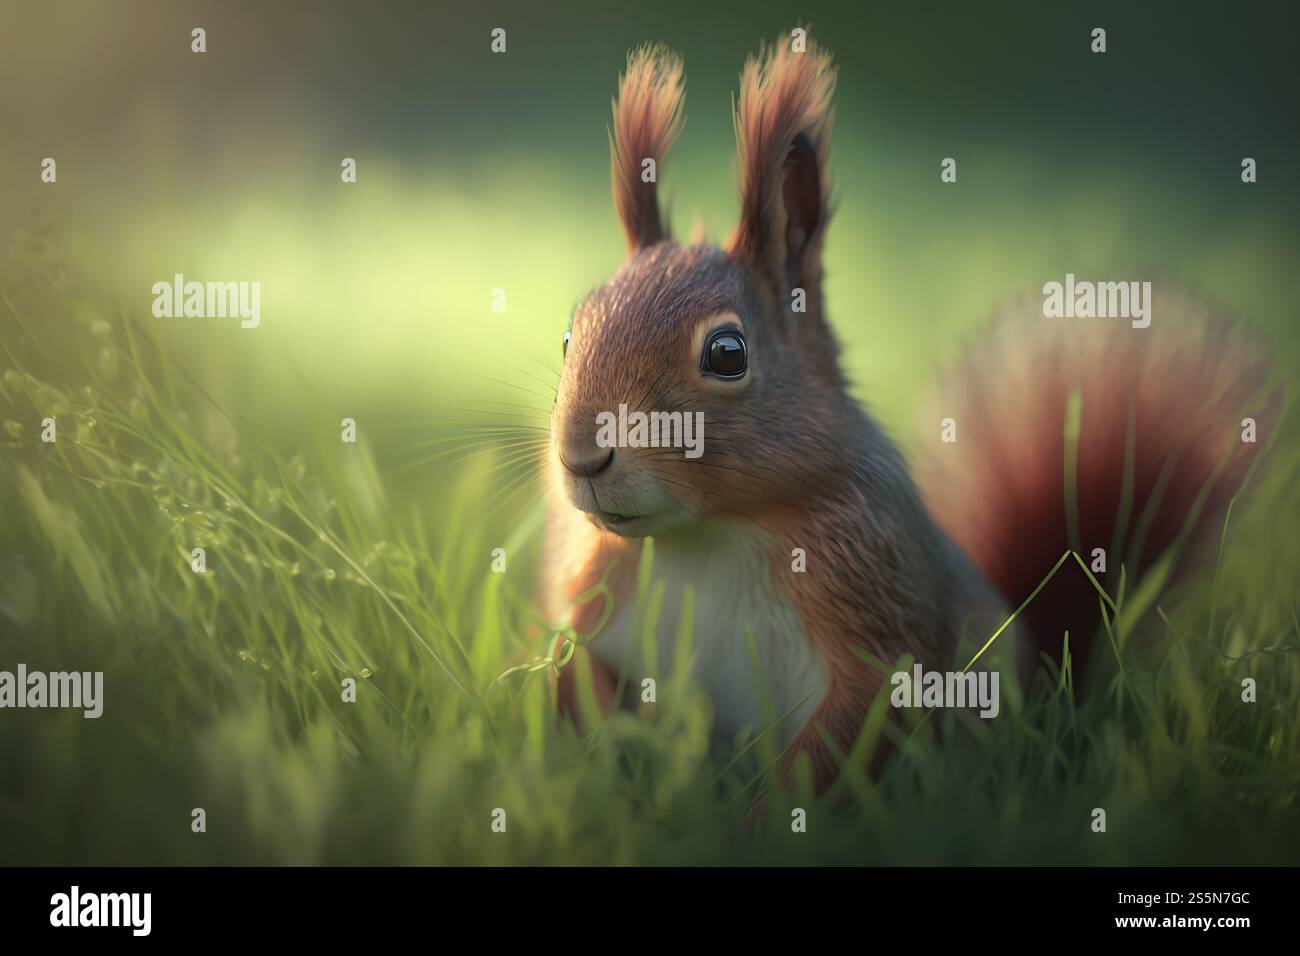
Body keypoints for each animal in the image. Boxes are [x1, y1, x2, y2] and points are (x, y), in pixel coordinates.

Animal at [542, 37, 1274, 794]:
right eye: (569, 335)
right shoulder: (594, 597)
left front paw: (758, 816)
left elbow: (855, 724)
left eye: (726, 353)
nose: (581, 457)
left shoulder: (873, 607)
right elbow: (578, 685)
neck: (707, 532)